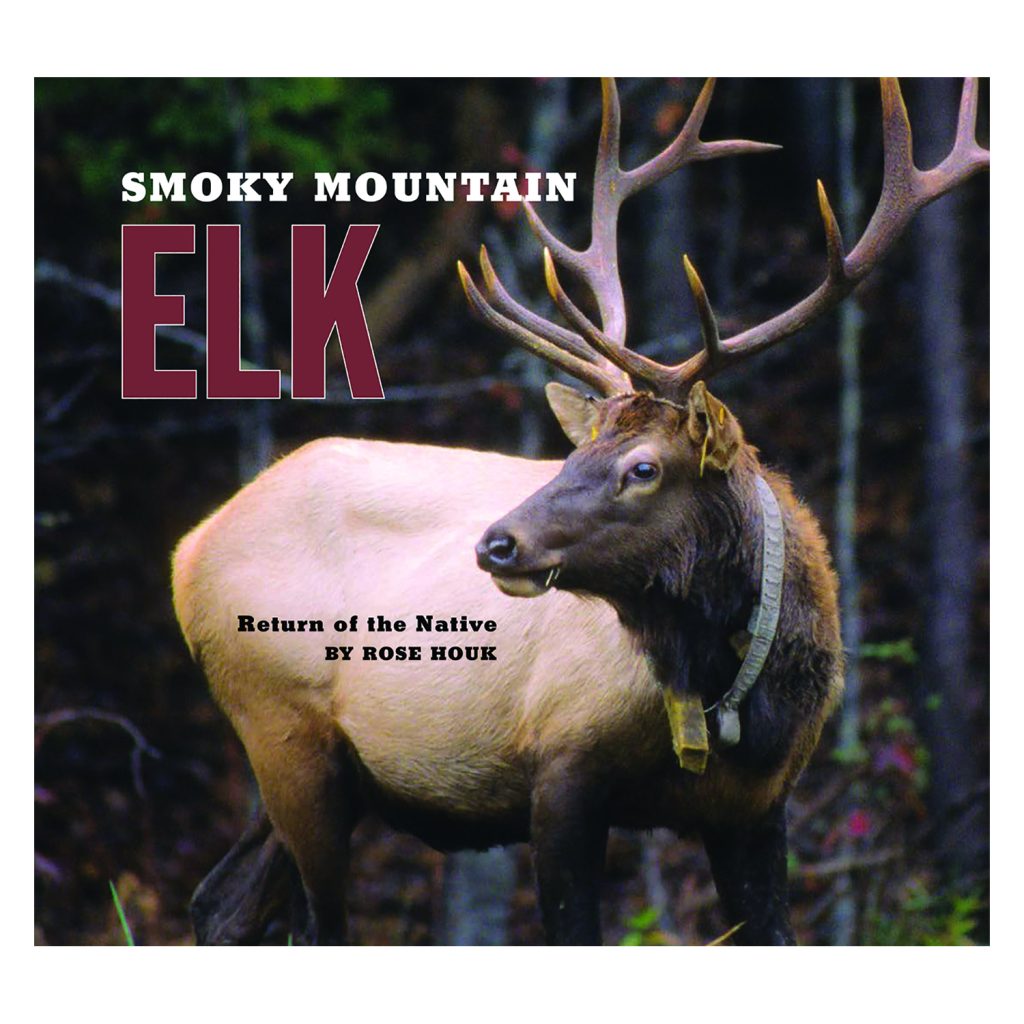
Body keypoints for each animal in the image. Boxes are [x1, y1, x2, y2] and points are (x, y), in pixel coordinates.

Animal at [174, 78, 988, 945]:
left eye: (642, 468)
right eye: (574, 455)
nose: (496, 544)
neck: (737, 703)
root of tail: (190, 547)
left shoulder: (759, 808)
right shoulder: (561, 765)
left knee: (222, 901)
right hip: (280, 722)